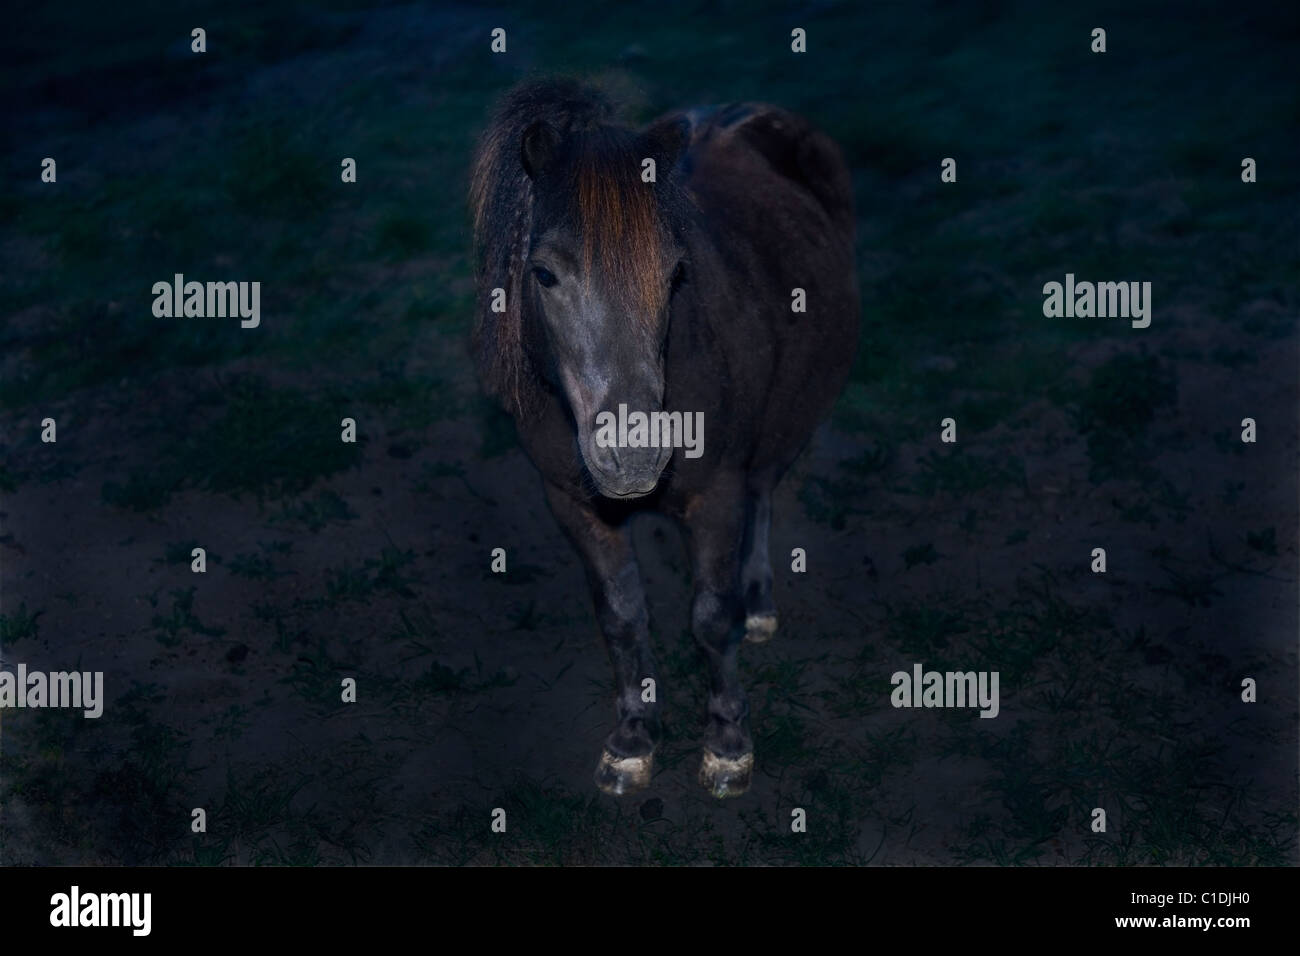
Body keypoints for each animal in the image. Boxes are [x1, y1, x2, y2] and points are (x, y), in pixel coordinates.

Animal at [470, 78, 859, 798]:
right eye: (544, 274)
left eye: (676, 272)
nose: (634, 454)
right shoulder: (571, 502)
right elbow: (622, 615)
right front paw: (631, 740)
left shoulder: (715, 495)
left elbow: (710, 616)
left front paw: (728, 744)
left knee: (764, 492)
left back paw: (759, 601)